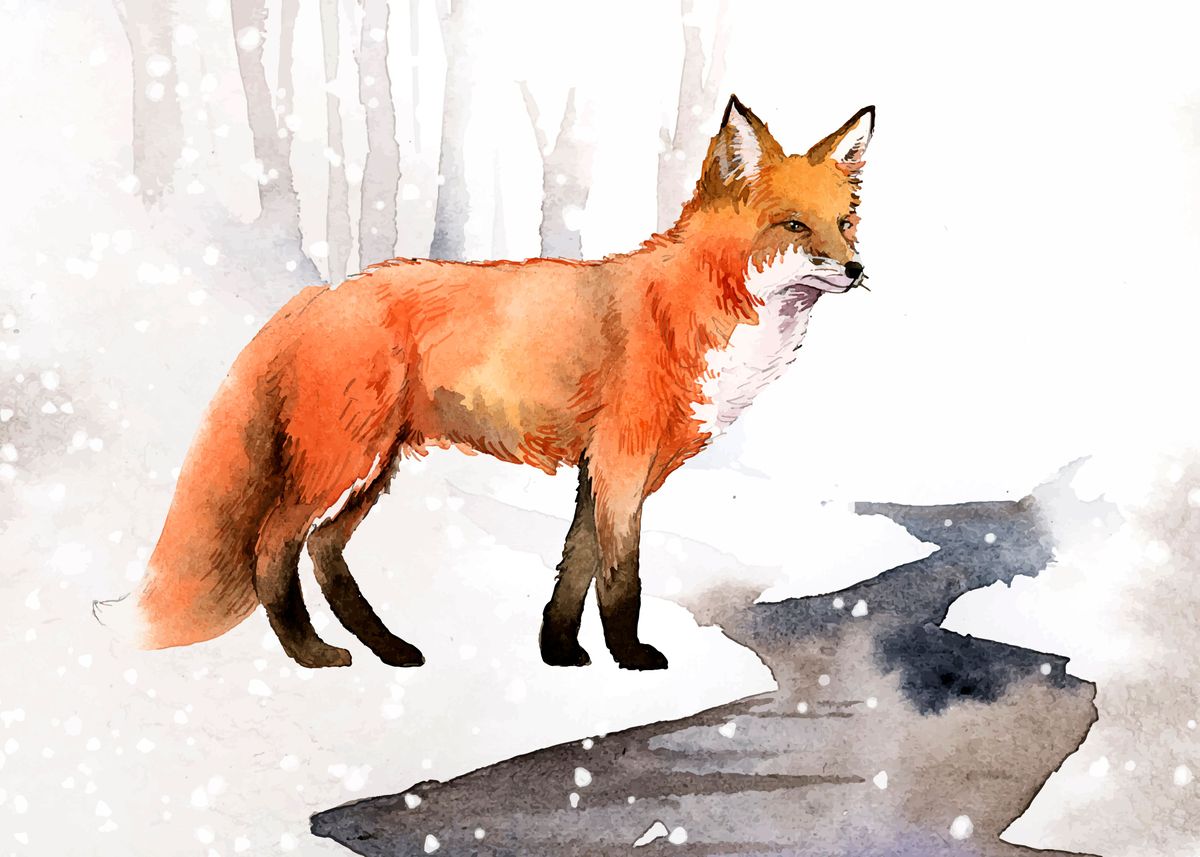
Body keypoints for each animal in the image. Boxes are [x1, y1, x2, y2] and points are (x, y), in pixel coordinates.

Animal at [99, 96, 874, 671]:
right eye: (794, 226)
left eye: (845, 225)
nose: (857, 270)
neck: (696, 307)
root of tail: (321, 291)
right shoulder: (622, 463)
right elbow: (621, 578)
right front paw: (630, 658)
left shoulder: (598, 472)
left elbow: (573, 567)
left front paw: (559, 653)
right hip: (342, 463)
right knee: (272, 550)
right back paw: (312, 654)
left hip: (372, 470)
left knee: (324, 553)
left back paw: (388, 649)